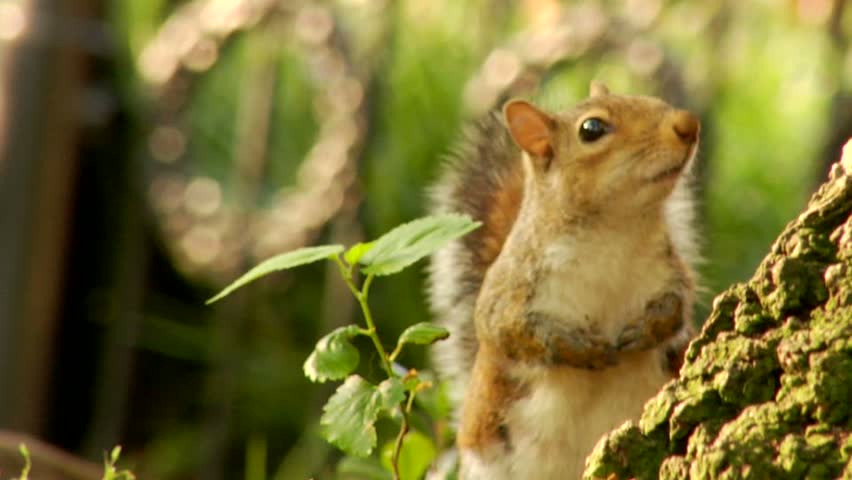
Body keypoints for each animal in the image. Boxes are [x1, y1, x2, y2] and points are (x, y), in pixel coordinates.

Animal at [427, 82, 700, 479]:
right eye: (592, 129)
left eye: (652, 100)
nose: (688, 124)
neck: (613, 231)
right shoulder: (509, 293)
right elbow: (509, 331)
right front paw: (576, 347)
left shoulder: (669, 274)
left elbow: (677, 308)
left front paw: (646, 328)